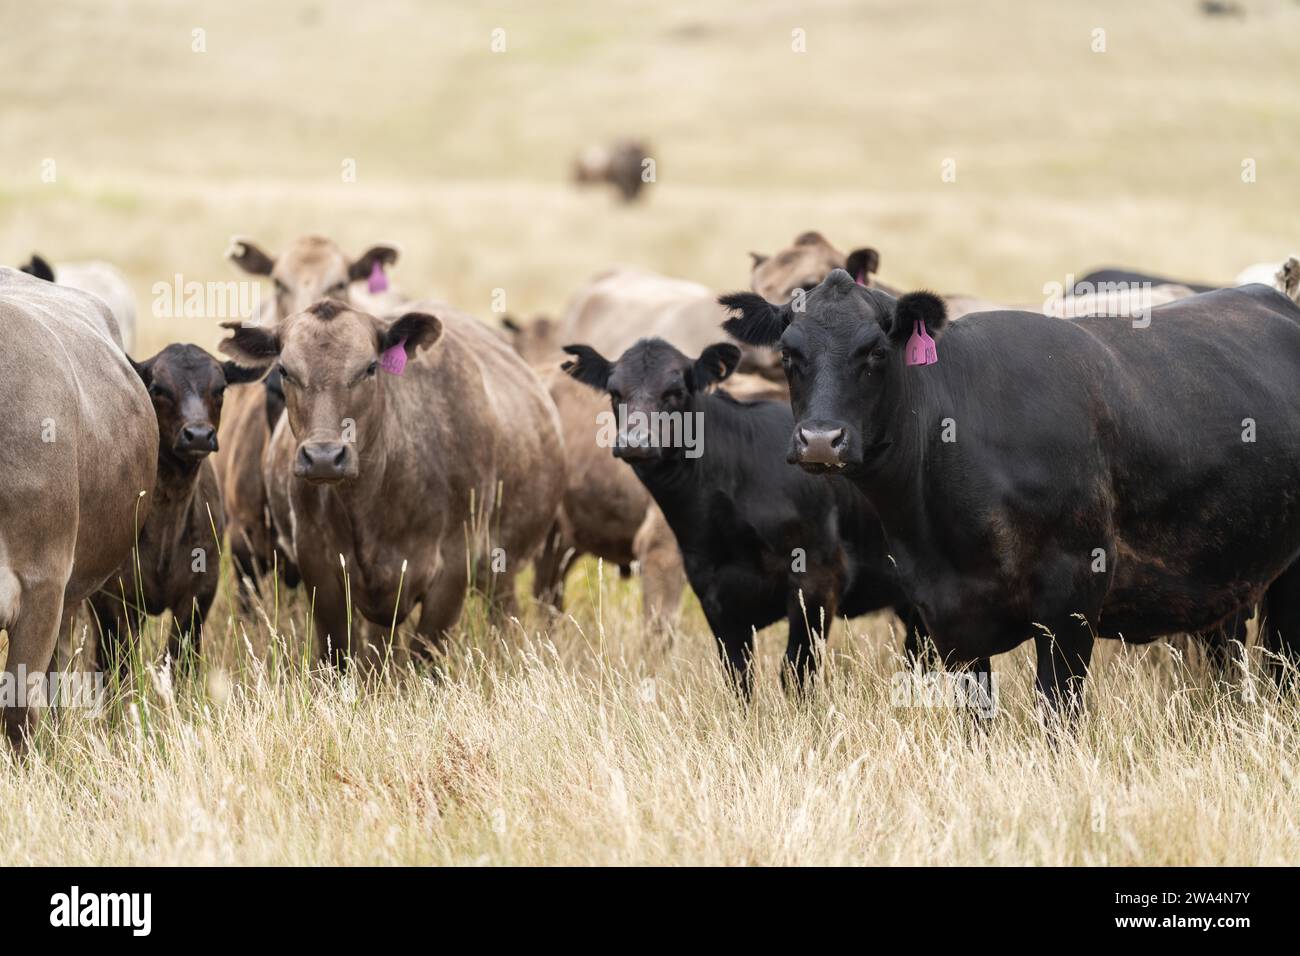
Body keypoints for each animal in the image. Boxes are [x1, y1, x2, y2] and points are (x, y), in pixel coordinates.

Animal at [88, 345, 263, 677]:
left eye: (220, 388)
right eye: (158, 388)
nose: (198, 434)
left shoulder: (200, 592)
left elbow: (179, 660)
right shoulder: (111, 597)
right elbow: (117, 663)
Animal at [220, 299, 565, 667]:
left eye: (371, 367)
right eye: (285, 370)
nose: (324, 456)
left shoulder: (454, 567)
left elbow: (425, 655)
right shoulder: (316, 564)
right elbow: (338, 652)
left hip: (503, 568)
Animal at [561, 336, 921, 695]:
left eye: (674, 391)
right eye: (614, 393)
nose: (635, 442)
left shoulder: (819, 578)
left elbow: (796, 672)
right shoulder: (714, 594)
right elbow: (738, 677)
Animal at [721, 270, 1300, 713]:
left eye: (875, 352)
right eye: (789, 354)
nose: (821, 439)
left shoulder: (1072, 595)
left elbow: (1057, 710)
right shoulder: (945, 614)